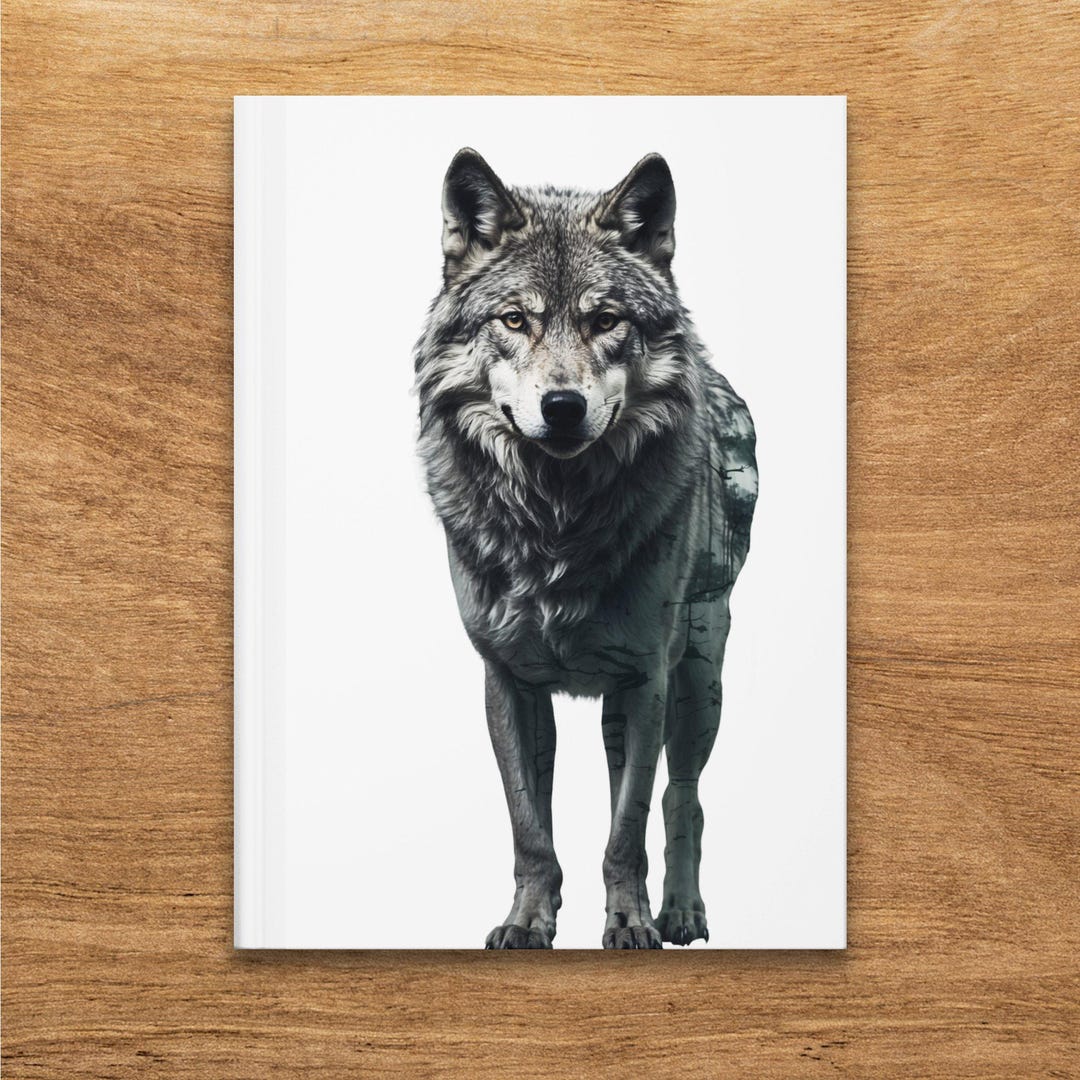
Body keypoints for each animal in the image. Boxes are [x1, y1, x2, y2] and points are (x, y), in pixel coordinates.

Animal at [414, 148, 758, 948]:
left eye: (606, 320)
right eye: (516, 319)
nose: (563, 407)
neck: (557, 523)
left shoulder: (646, 679)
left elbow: (627, 827)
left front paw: (631, 923)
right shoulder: (508, 681)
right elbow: (530, 829)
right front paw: (527, 922)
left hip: (698, 680)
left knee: (681, 796)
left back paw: (680, 912)